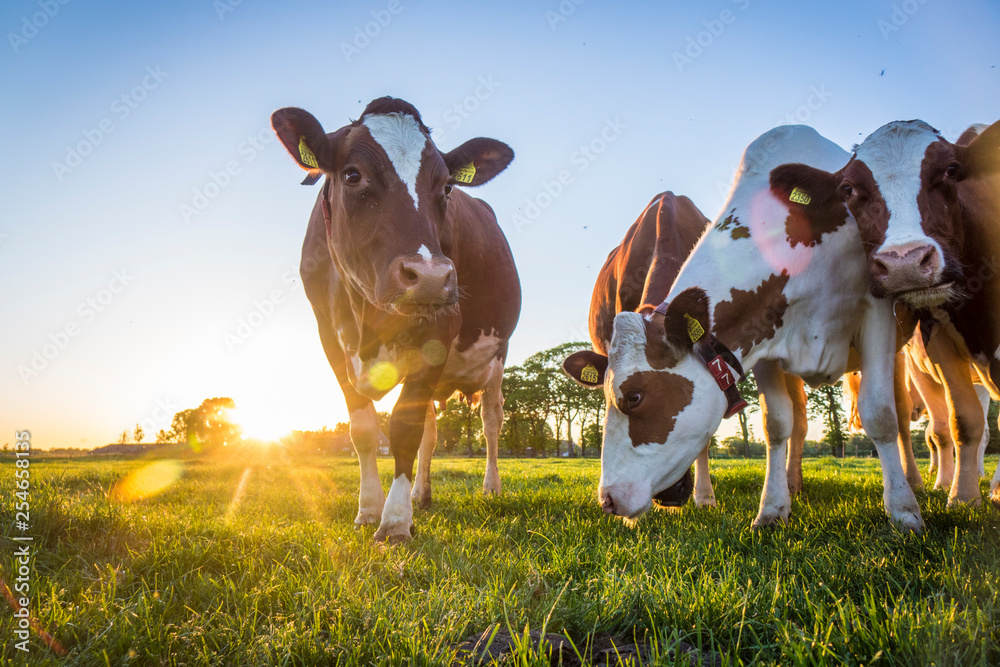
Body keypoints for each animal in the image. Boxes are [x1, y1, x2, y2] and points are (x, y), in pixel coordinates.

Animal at [271, 97, 521, 542]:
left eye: (448, 186)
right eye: (353, 174)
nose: (431, 277)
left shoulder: (440, 331)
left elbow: (404, 426)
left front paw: (395, 522)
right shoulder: (329, 339)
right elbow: (364, 429)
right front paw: (369, 509)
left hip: (497, 355)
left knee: (491, 420)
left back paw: (490, 488)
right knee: (432, 431)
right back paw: (422, 494)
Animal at [771, 119, 1000, 507]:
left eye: (951, 170)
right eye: (848, 189)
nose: (904, 263)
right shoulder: (939, 339)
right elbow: (963, 422)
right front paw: (963, 498)